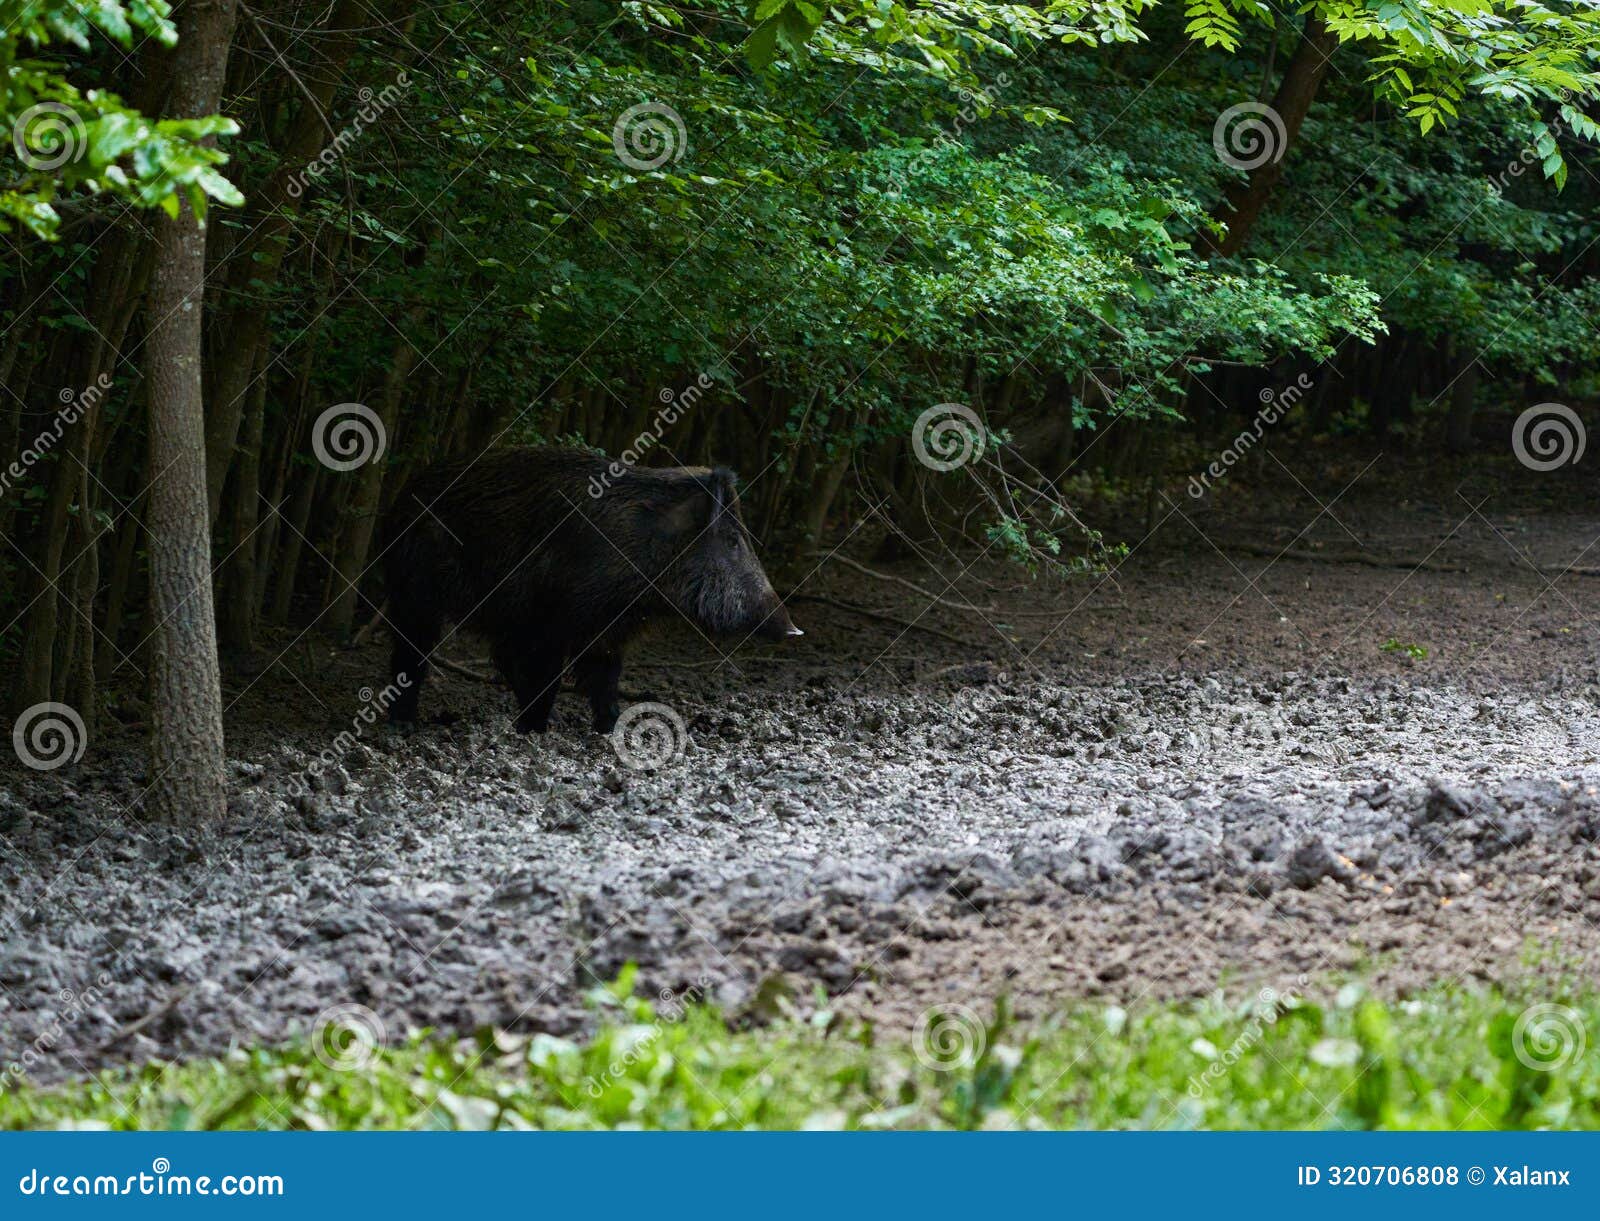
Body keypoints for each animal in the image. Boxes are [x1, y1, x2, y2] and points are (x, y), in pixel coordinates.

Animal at [379, 446, 801, 733]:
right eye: (732, 540)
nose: (794, 630)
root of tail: (403, 496)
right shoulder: (553, 622)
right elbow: (548, 676)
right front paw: (534, 729)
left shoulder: (608, 629)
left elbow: (605, 677)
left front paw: (611, 727)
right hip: (413, 595)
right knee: (412, 653)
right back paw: (403, 725)